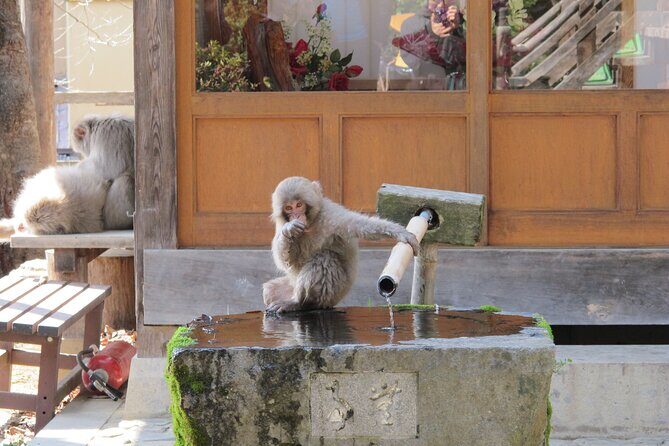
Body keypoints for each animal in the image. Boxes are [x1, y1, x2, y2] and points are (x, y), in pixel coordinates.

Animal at [263, 177, 420, 313]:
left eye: (299, 205)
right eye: (288, 208)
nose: (296, 216)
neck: (311, 224)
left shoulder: (331, 217)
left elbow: (361, 225)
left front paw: (400, 233)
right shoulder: (282, 225)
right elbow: (287, 262)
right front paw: (289, 230)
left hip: (332, 295)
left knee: (324, 258)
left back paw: (300, 304)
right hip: (291, 285)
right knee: (270, 290)